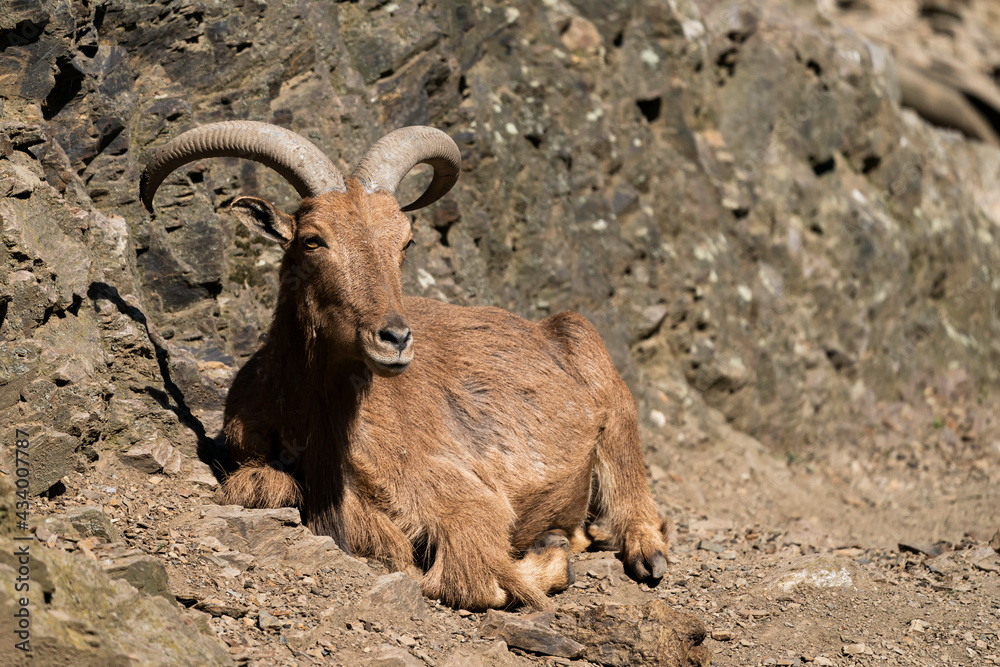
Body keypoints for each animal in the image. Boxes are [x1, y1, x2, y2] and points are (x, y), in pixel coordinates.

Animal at [140, 120, 671, 610]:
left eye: (405, 241)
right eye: (312, 240)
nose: (394, 338)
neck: (314, 425)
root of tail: (546, 329)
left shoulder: (466, 499)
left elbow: (473, 581)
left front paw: (551, 563)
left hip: (605, 390)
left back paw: (645, 554)